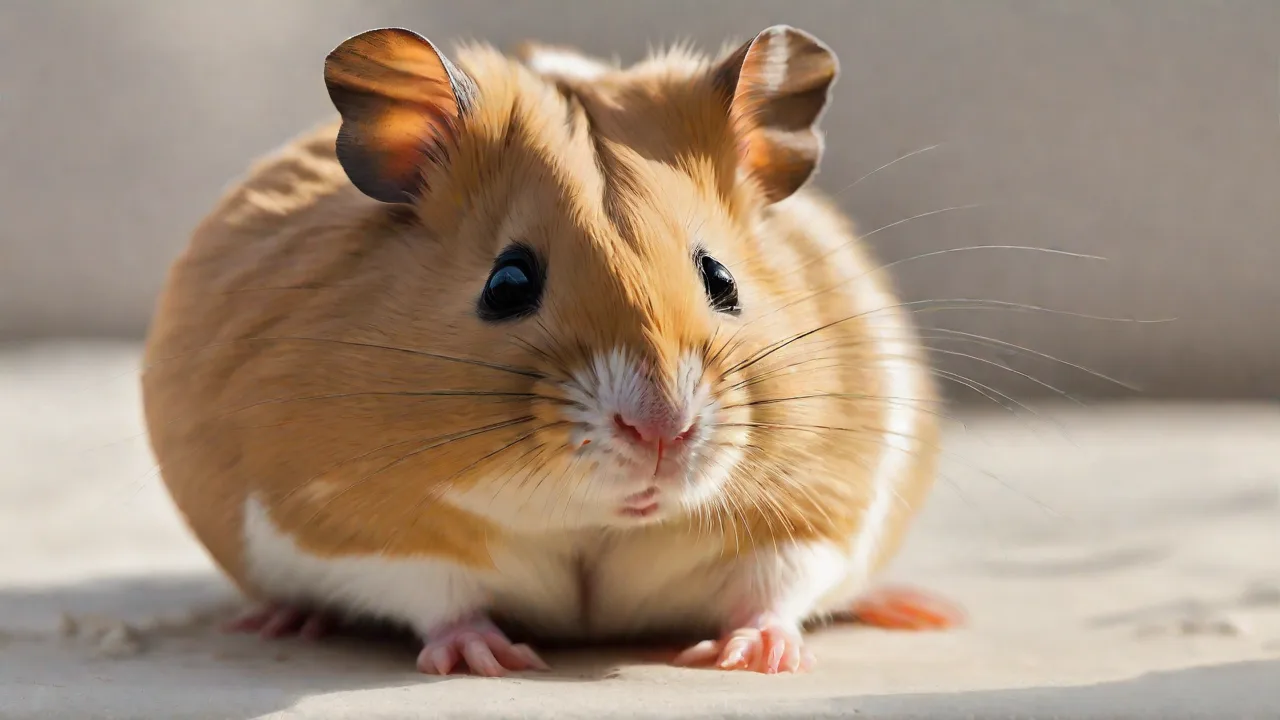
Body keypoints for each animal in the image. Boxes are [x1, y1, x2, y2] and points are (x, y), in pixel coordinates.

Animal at [141, 25, 955, 676]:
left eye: (722, 280)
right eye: (506, 283)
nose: (662, 432)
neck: (595, 521)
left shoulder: (820, 501)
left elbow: (774, 585)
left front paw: (751, 658)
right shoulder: (345, 522)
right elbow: (438, 595)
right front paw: (492, 660)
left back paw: (920, 609)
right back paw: (279, 621)